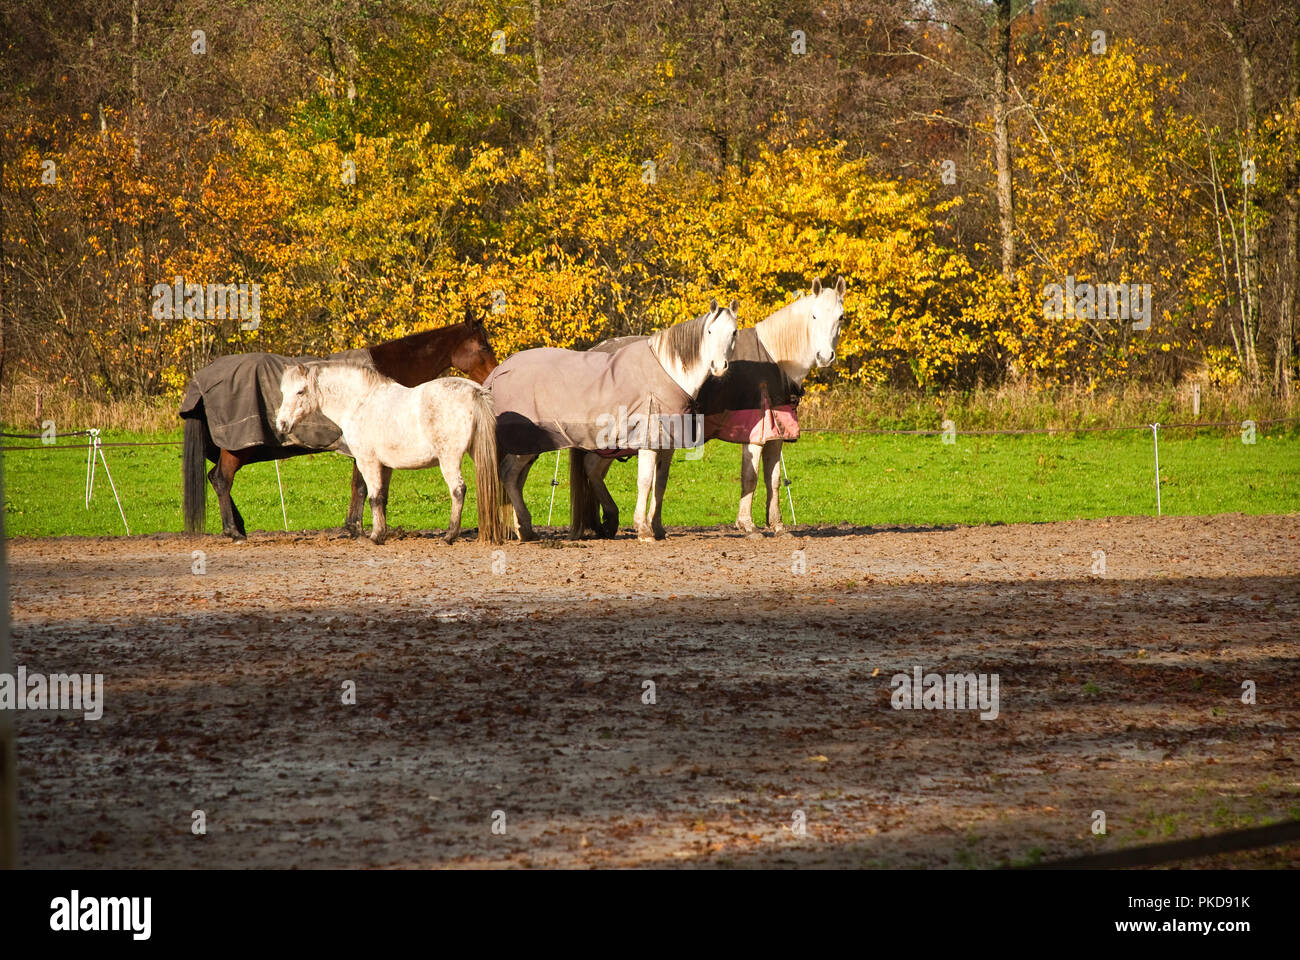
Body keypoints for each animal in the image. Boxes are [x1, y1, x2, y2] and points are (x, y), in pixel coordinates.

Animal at [273, 363, 504, 545]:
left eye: (300, 391)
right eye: (283, 392)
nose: (281, 424)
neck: (360, 403)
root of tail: (474, 391)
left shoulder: (367, 461)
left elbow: (373, 497)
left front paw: (375, 536)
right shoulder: (386, 466)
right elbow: (382, 498)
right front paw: (382, 532)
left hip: (449, 458)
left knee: (458, 490)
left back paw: (449, 535)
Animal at [486, 299, 739, 542]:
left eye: (734, 332)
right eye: (709, 331)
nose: (719, 367)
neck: (667, 374)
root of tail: (500, 370)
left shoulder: (666, 445)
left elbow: (660, 483)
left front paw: (657, 528)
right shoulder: (647, 442)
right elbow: (645, 481)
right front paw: (643, 530)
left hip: (531, 446)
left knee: (518, 479)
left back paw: (525, 530)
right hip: (525, 443)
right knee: (509, 474)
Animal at [570, 277, 845, 538]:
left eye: (841, 317)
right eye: (814, 315)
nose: (825, 356)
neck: (776, 360)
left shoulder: (776, 434)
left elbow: (774, 480)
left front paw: (777, 526)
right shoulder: (755, 435)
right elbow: (751, 477)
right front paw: (748, 526)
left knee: (594, 470)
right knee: (592, 467)